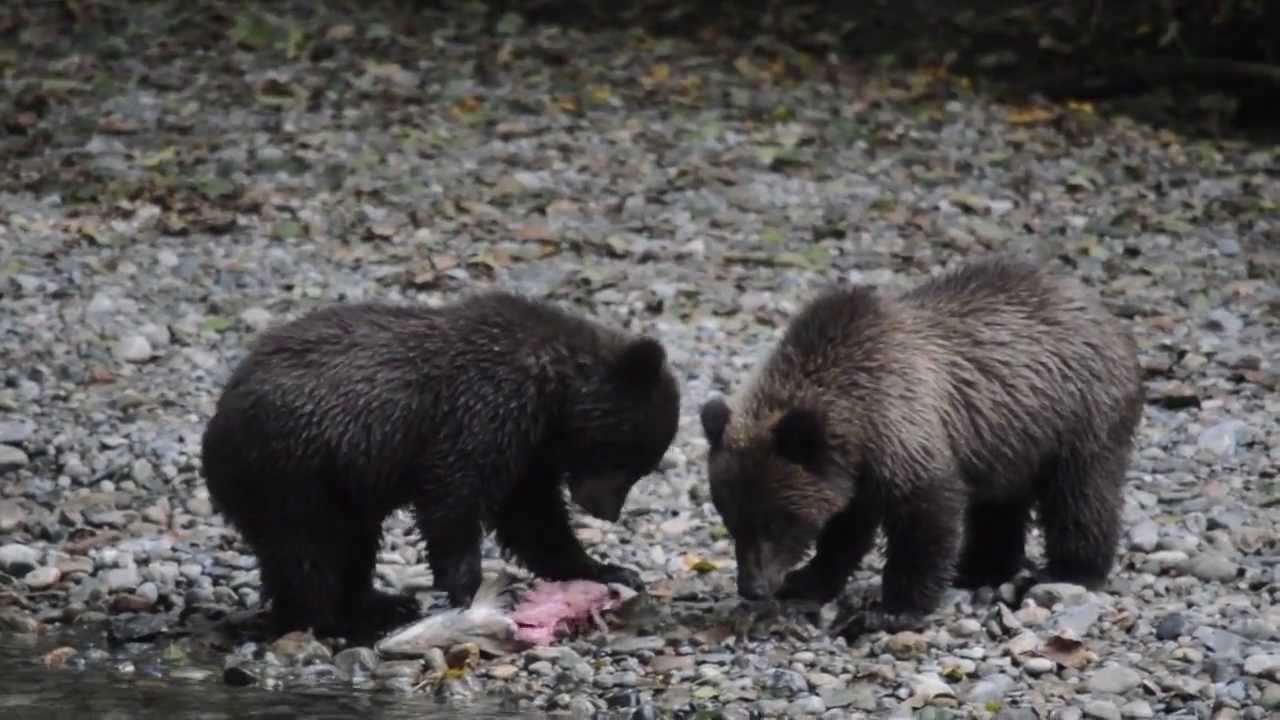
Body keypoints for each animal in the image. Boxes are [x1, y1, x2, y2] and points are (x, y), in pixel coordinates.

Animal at [200, 290, 680, 641]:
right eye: (628, 457)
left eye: (644, 465)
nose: (607, 511)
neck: (551, 398)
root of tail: (218, 415)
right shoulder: (482, 410)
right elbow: (454, 496)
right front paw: (468, 590)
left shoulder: (528, 450)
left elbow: (534, 520)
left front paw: (608, 568)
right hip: (292, 468)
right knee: (311, 549)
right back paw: (338, 619)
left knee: (351, 542)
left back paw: (379, 602)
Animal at [699, 256, 1144, 637]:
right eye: (731, 518)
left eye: (776, 520)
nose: (752, 586)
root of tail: (1100, 310)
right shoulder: (854, 472)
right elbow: (845, 529)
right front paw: (807, 579)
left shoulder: (905, 433)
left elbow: (925, 519)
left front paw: (890, 610)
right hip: (1006, 438)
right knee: (999, 508)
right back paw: (982, 568)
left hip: (1078, 416)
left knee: (1081, 495)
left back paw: (1065, 571)